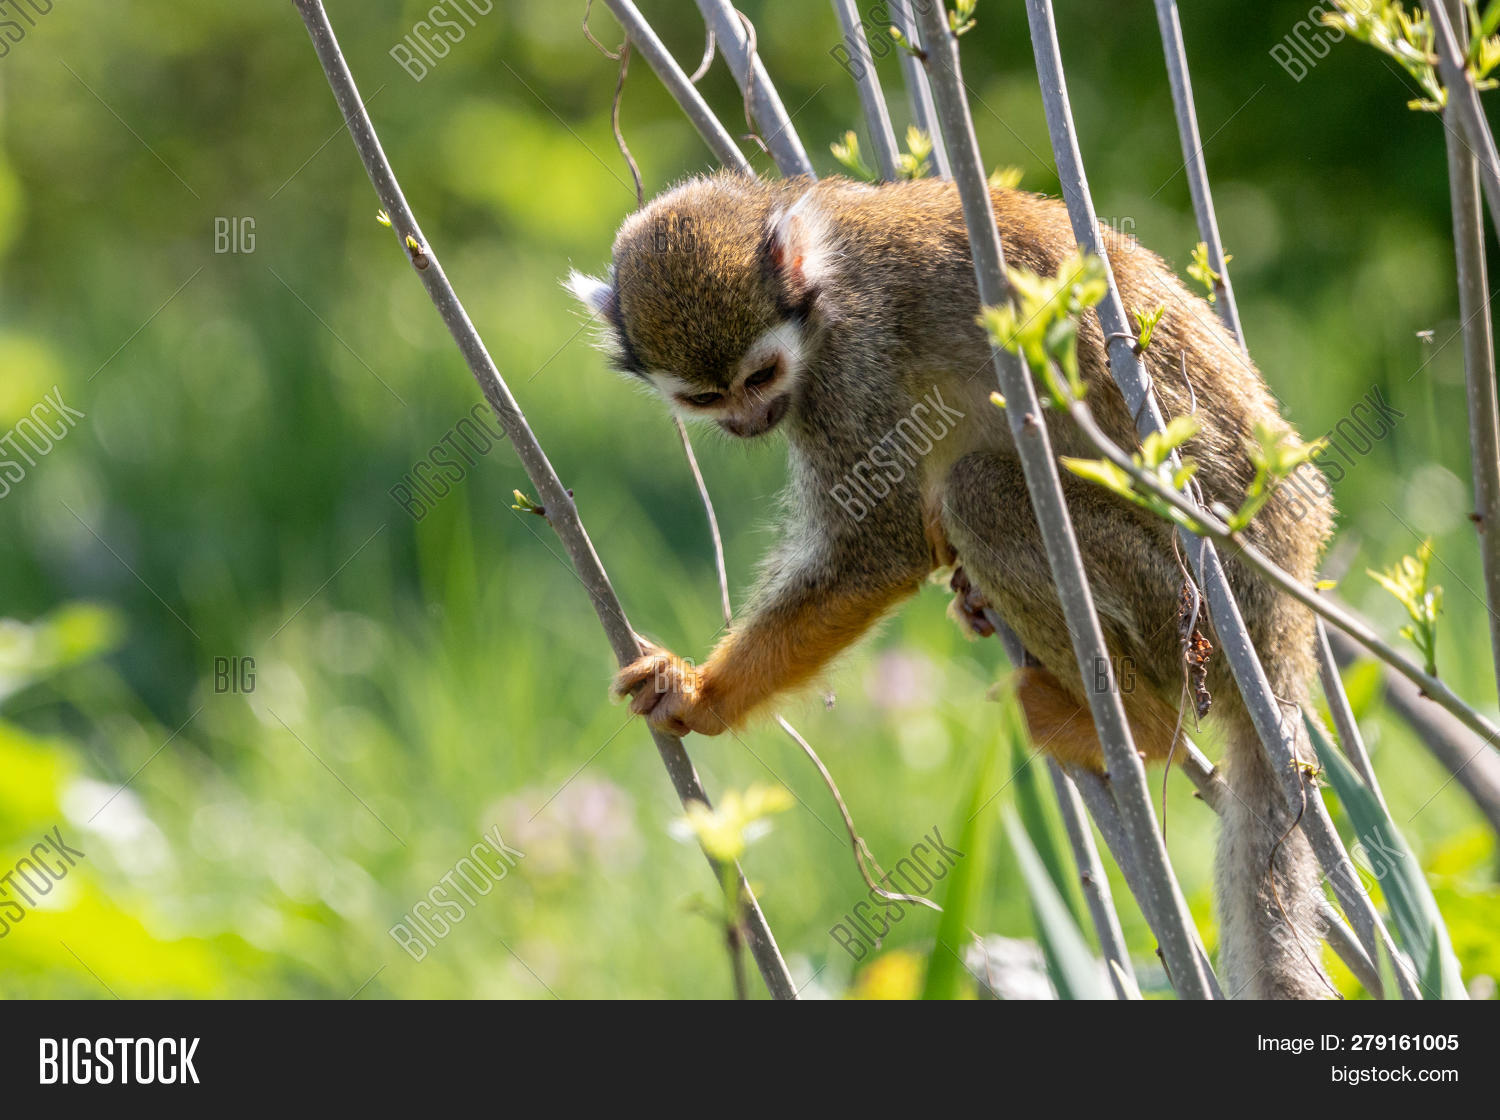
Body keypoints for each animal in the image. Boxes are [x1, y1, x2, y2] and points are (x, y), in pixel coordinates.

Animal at [568, 172, 1335, 1000]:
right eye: (705, 399)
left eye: (761, 376)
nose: (751, 420)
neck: (822, 283)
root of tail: (1283, 623)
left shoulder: (849, 364)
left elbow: (880, 542)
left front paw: (702, 697)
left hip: (1188, 609)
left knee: (980, 492)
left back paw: (1137, 728)